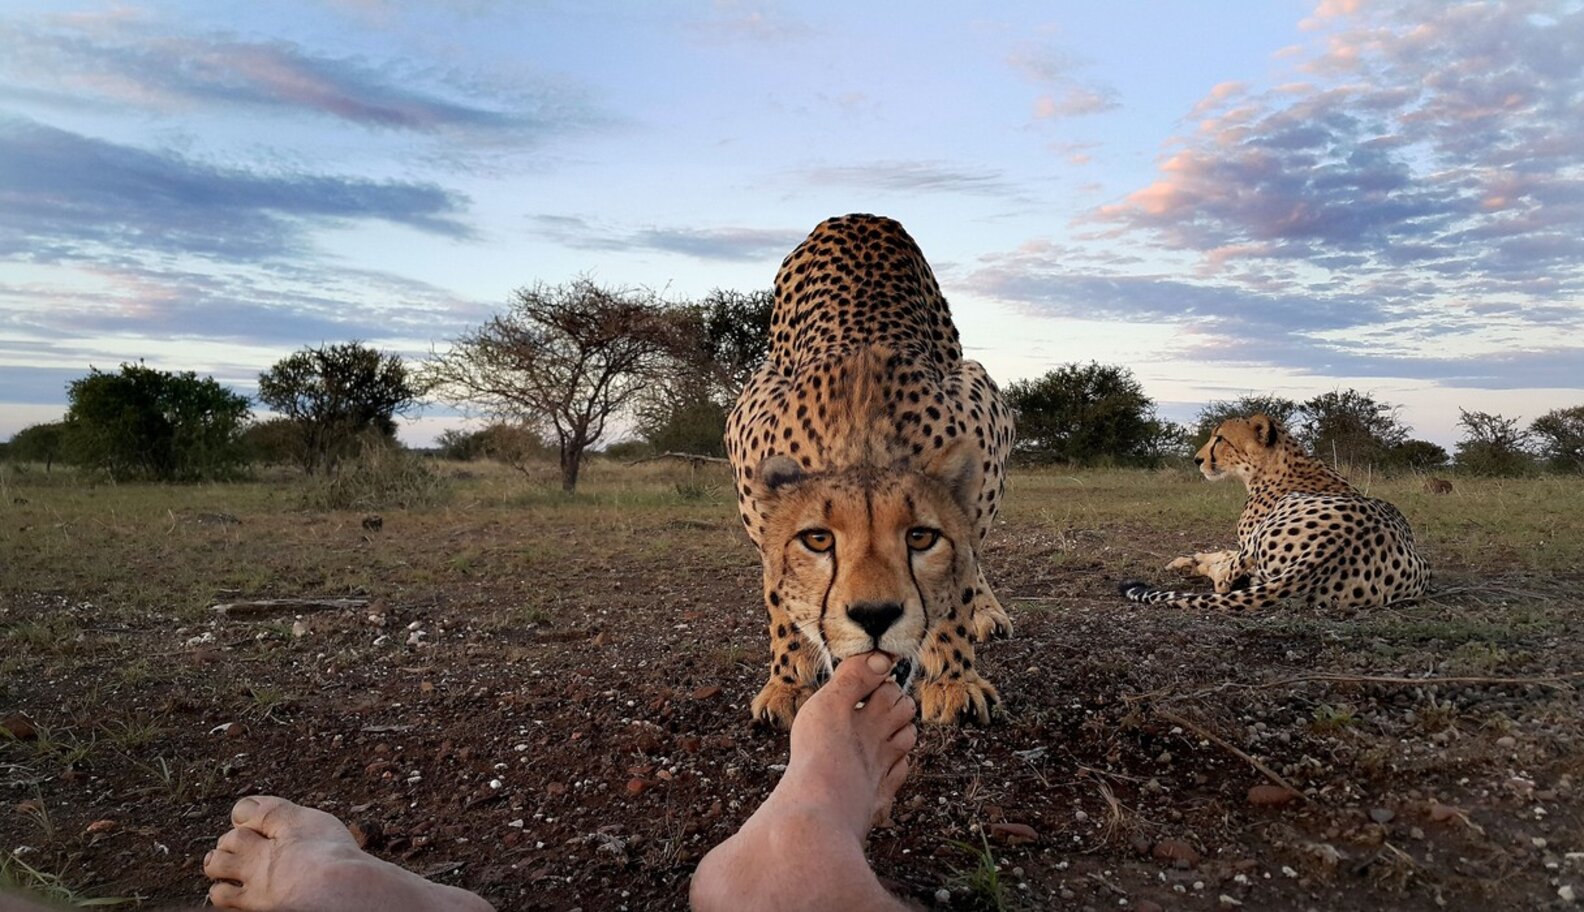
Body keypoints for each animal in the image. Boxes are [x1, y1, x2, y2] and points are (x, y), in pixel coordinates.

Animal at [725, 214, 1015, 728]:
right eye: (819, 541)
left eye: (918, 538)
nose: (875, 616)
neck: (863, 442)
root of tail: (860, 215)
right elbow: (779, 591)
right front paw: (789, 681)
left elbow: (960, 576)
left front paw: (953, 678)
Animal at [1121, 413, 1429, 611]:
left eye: (1220, 439)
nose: (1197, 460)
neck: (1273, 466)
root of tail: (1333, 547)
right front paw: (1188, 560)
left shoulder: (1248, 541)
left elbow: (1227, 562)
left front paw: (1191, 562)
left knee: (1226, 580)